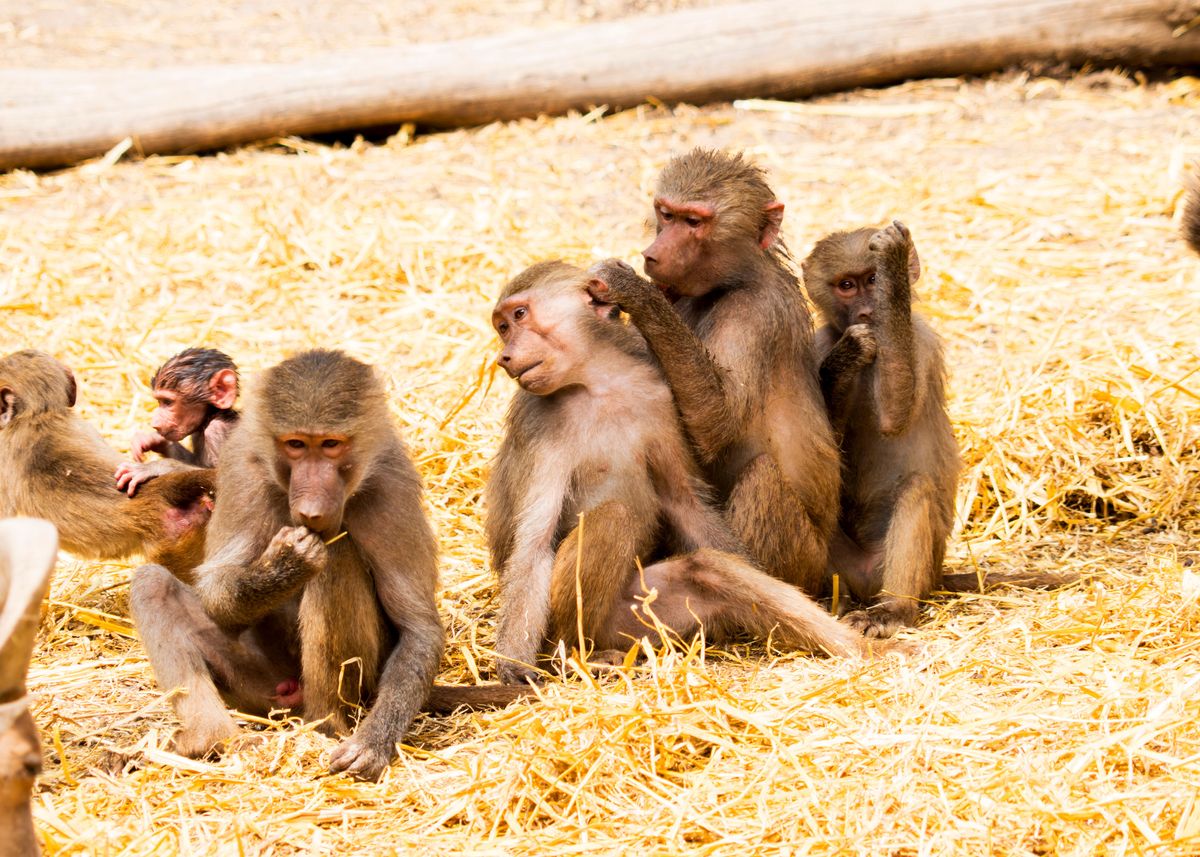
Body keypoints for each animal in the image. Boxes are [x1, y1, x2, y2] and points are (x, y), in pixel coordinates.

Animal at [115, 348, 239, 497]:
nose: (155, 422)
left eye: (168, 402)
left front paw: (155, 467)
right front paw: (154, 440)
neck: (212, 416)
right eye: (160, 401)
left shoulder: (218, 430)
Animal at [130, 349, 527, 782]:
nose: (311, 508)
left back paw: (325, 725)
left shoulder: (391, 486)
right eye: (296, 445)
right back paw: (210, 740)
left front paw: (371, 745)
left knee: (337, 560)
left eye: (331, 445)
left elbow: (417, 626)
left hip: (364, 676)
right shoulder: (243, 468)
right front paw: (285, 565)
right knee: (152, 583)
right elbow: (217, 586)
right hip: (255, 687)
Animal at [488, 261, 896, 686]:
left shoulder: (660, 400)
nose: (504, 357)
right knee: (614, 518)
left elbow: (685, 502)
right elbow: (534, 546)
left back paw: (875, 650)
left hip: (640, 618)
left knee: (710, 569)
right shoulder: (540, 424)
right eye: (503, 326)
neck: (599, 383)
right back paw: (578, 656)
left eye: (518, 316)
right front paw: (513, 666)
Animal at [587, 148, 841, 599]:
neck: (729, 283)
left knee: (761, 476)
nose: (652, 255)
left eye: (694, 222)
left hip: (804, 563)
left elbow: (718, 421)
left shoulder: (753, 312)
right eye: (666, 213)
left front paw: (629, 288)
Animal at [802, 221, 961, 637]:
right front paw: (849, 353)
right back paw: (832, 602)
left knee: (916, 488)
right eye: (846, 285)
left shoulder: (918, 340)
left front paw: (894, 254)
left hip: (909, 568)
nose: (868, 312)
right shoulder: (817, 345)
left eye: (874, 279)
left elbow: (894, 416)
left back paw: (892, 610)